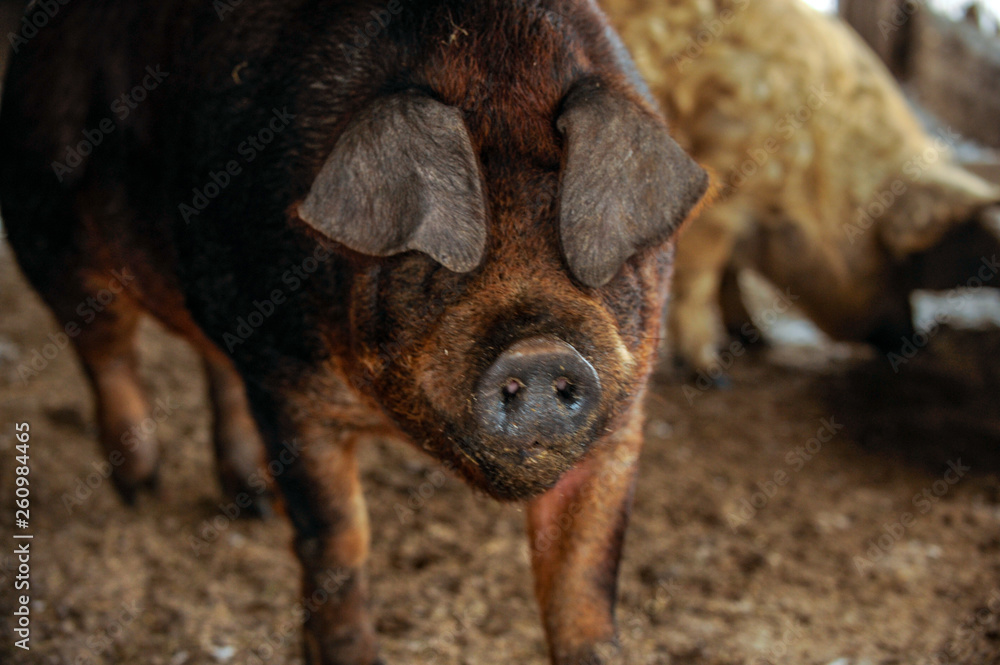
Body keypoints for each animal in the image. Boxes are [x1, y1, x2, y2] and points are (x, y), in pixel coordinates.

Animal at [0, 0, 707, 663]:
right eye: (430, 262)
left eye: (592, 256)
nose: (536, 353)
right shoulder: (289, 385)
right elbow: (338, 537)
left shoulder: (625, 417)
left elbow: (584, 570)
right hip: (51, 234)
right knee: (107, 352)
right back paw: (141, 491)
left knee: (212, 362)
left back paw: (252, 504)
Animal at [602, 0, 1000, 374]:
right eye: (899, 262)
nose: (913, 339)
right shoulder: (721, 179)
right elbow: (702, 275)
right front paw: (711, 372)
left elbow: (730, 271)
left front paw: (758, 339)